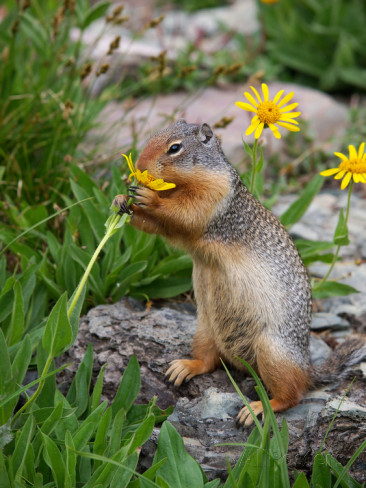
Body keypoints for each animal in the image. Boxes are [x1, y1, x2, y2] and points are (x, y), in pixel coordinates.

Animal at [116, 120, 366, 426]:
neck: (182, 183)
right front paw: (120, 199)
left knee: (293, 395)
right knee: (210, 361)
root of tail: (308, 366)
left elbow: (185, 213)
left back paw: (257, 409)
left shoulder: (214, 193)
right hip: (205, 331)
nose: (139, 165)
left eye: (174, 148)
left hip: (272, 353)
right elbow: (157, 225)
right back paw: (184, 367)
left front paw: (147, 195)